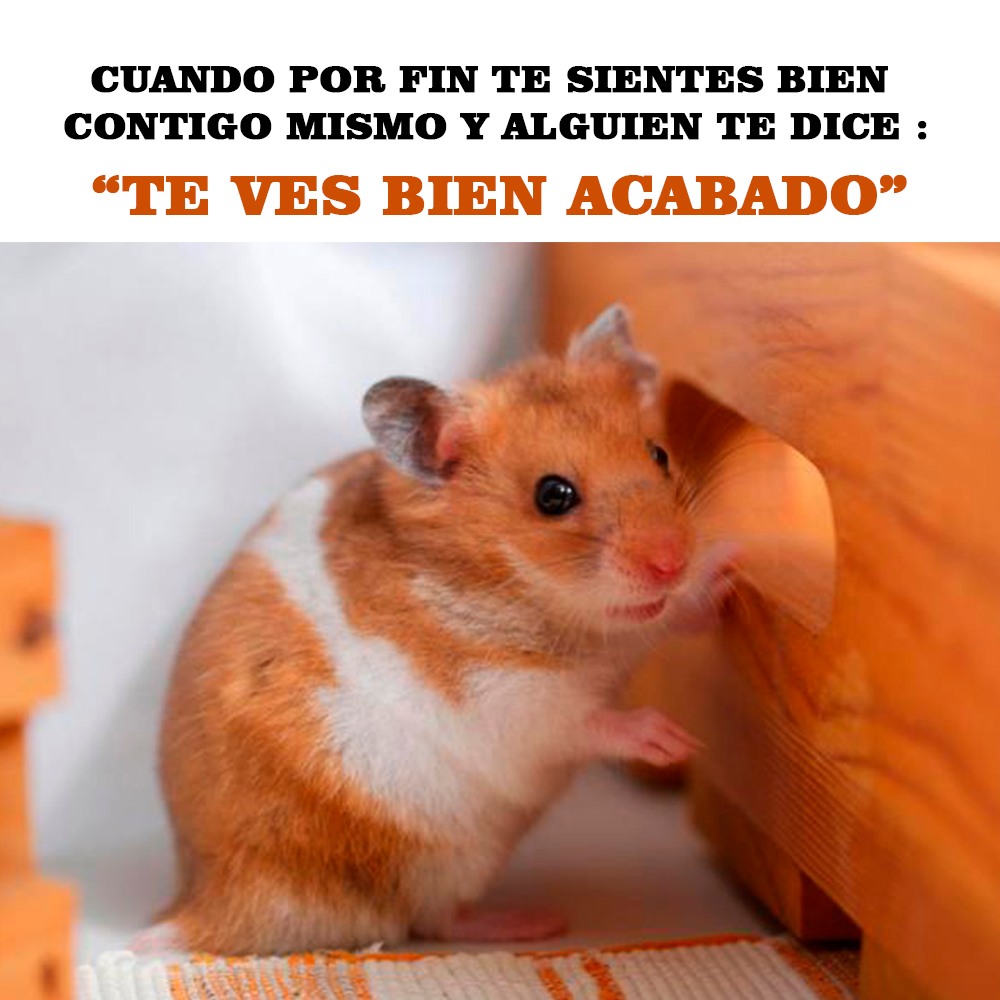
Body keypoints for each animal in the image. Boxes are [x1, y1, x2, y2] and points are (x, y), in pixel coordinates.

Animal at [154, 305, 737, 955]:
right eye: (553, 495)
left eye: (658, 453)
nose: (671, 560)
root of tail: (204, 905)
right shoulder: (506, 702)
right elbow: (583, 720)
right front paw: (674, 740)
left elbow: (668, 616)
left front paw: (726, 577)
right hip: (432, 860)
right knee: (433, 919)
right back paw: (535, 922)